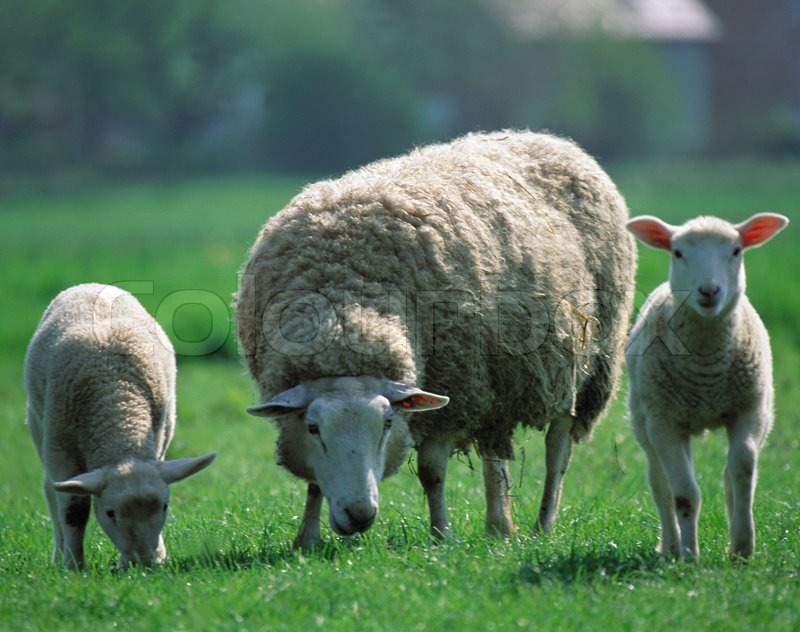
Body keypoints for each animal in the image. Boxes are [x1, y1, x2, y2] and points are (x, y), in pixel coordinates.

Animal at [25, 283, 217, 569]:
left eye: (165, 507)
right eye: (110, 513)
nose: (143, 563)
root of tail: (91, 285)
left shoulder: (158, 438)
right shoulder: (59, 446)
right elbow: (73, 508)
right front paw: (73, 565)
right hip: (38, 424)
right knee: (51, 490)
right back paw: (59, 553)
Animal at [236, 130, 637, 548]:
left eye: (387, 424)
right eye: (314, 428)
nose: (360, 516)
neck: (343, 317)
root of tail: (551, 139)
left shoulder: (453, 389)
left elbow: (432, 473)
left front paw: (441, 536)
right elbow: (315, 480)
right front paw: (307, 539)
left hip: (581, 367)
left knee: (557, 451)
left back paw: (541, 524)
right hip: (496, 377)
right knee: (495, 448)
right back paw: (499, 526)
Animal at [625, 213, 789, 560]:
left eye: (736, 251)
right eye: (677, 253)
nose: (709, 291)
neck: (706, 370)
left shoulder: (750, 409)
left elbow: (742, 470)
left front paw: (742, 546)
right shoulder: (664, 422)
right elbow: (685, 492)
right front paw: (689, 555)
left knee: (727, 475)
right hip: (646, 421)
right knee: (660, 482)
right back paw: (671, 546)